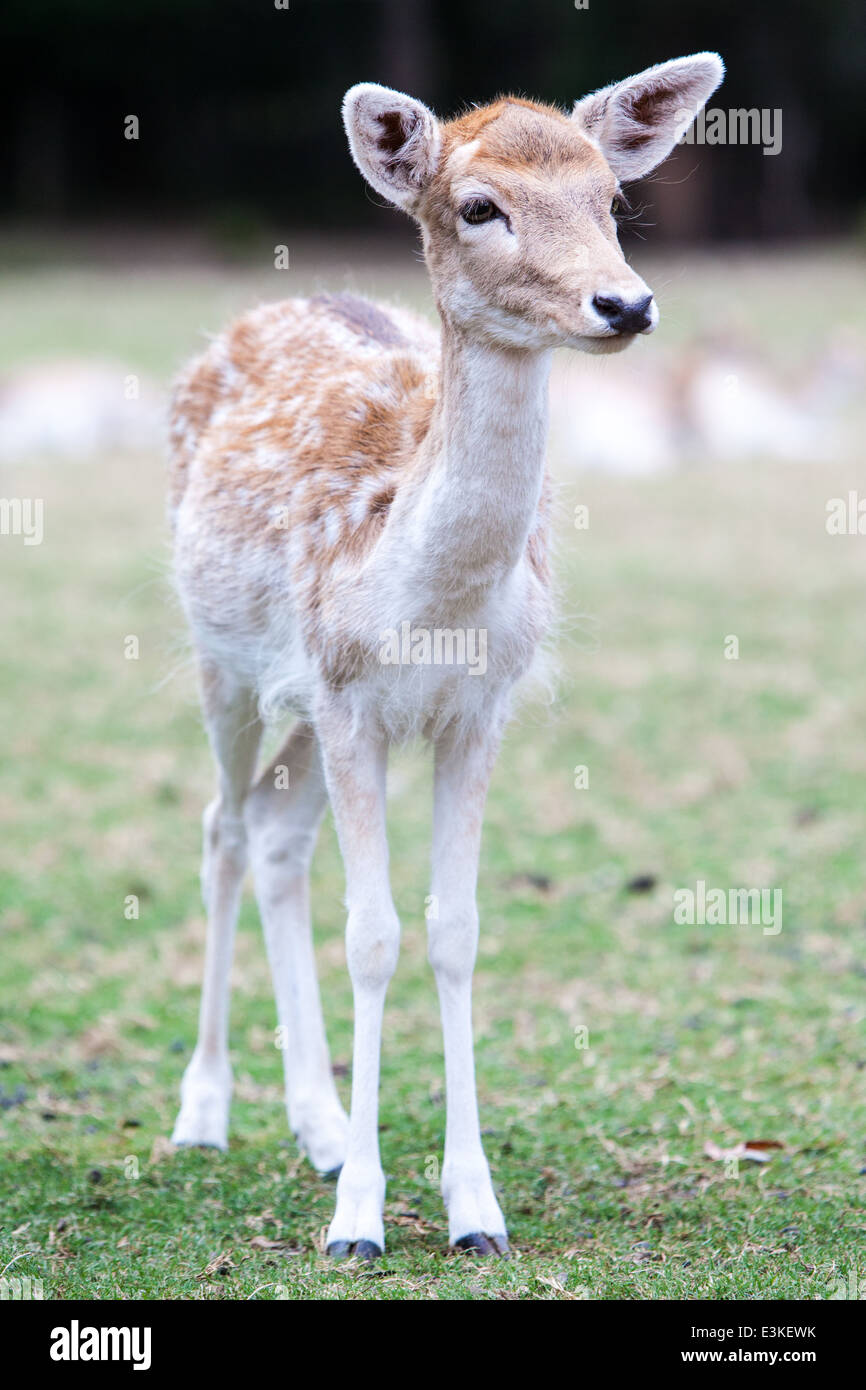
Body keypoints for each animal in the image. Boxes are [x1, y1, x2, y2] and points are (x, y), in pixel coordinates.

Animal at [166, 53, 724, 1260]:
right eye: (478, 207)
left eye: (611, 200)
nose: (626, 302)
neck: (428, 604)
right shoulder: (347, 698)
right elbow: (373, 935)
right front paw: (359, 1223)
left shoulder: (475, 708)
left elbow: (454, 931)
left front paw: (474, 1209)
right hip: (224, 662)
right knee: (223, 825)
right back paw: (204, 1111)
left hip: (303, 710)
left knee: (274, 833)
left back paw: (319, 1124)